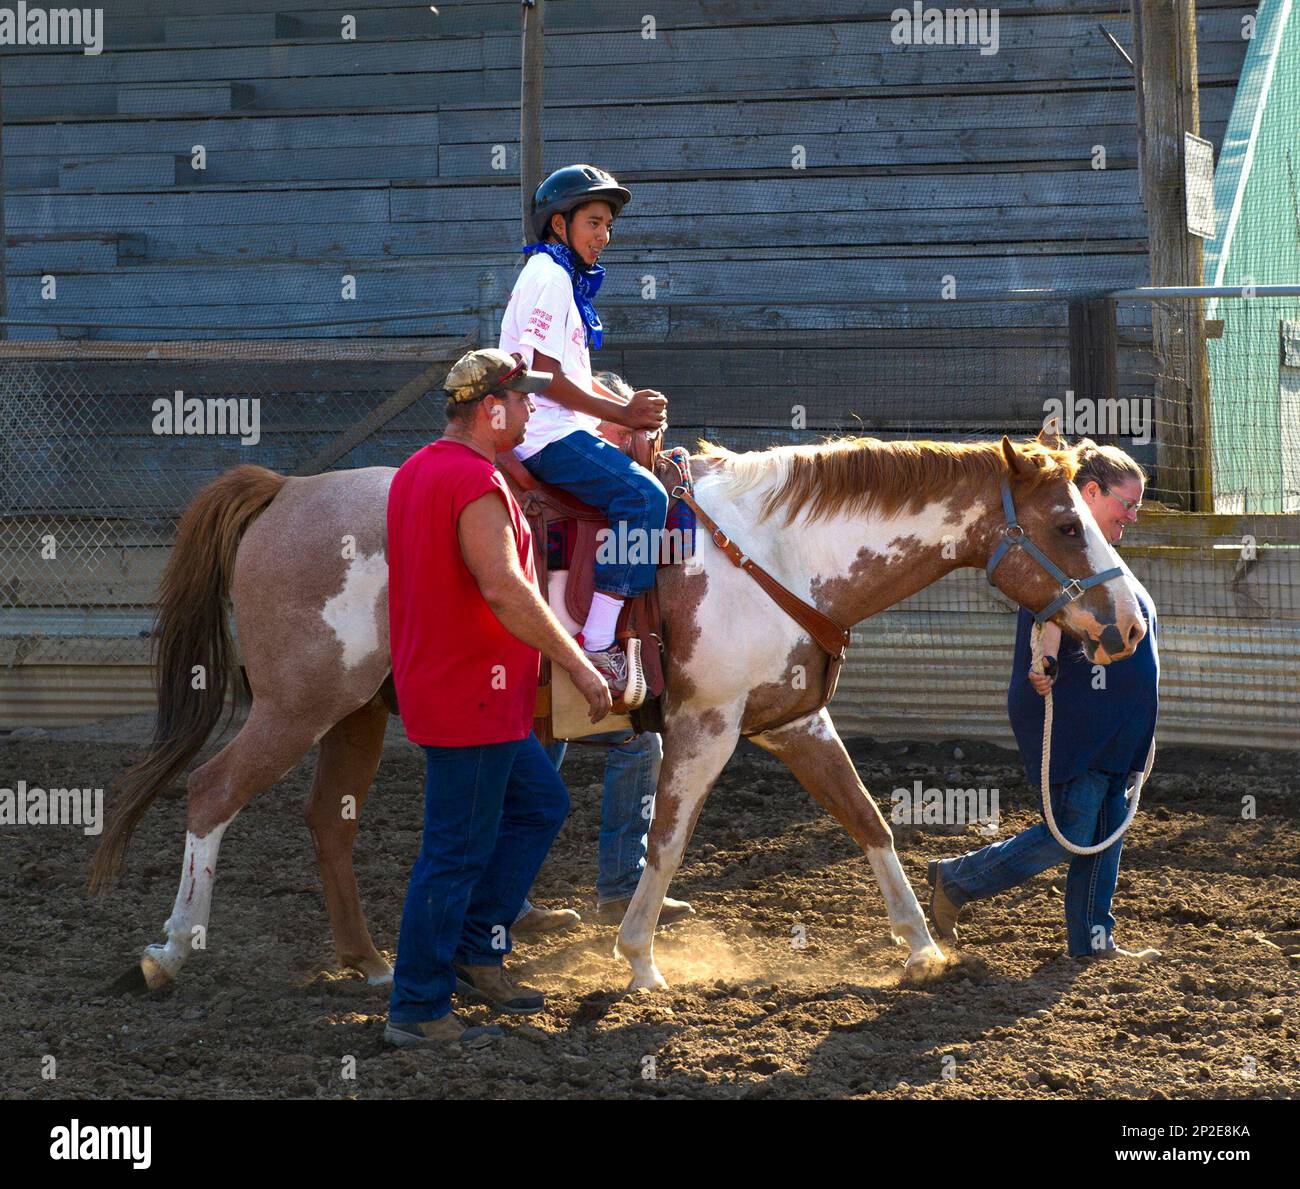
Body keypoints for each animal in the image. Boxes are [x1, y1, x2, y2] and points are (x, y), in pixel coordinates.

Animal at [89, 428, 1146, 993]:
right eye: (1066, 524)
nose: (1129, 620)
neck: (774, 553)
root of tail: (284, 492)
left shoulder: (792, 722)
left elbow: (867, 820)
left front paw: (923, 946)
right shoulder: (706, 727)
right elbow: (667, 839)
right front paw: (639, 960)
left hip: (355, 710)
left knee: (326, 821)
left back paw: (370, 961)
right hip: (296, 704)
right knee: (212, 794)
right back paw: (171, 949)